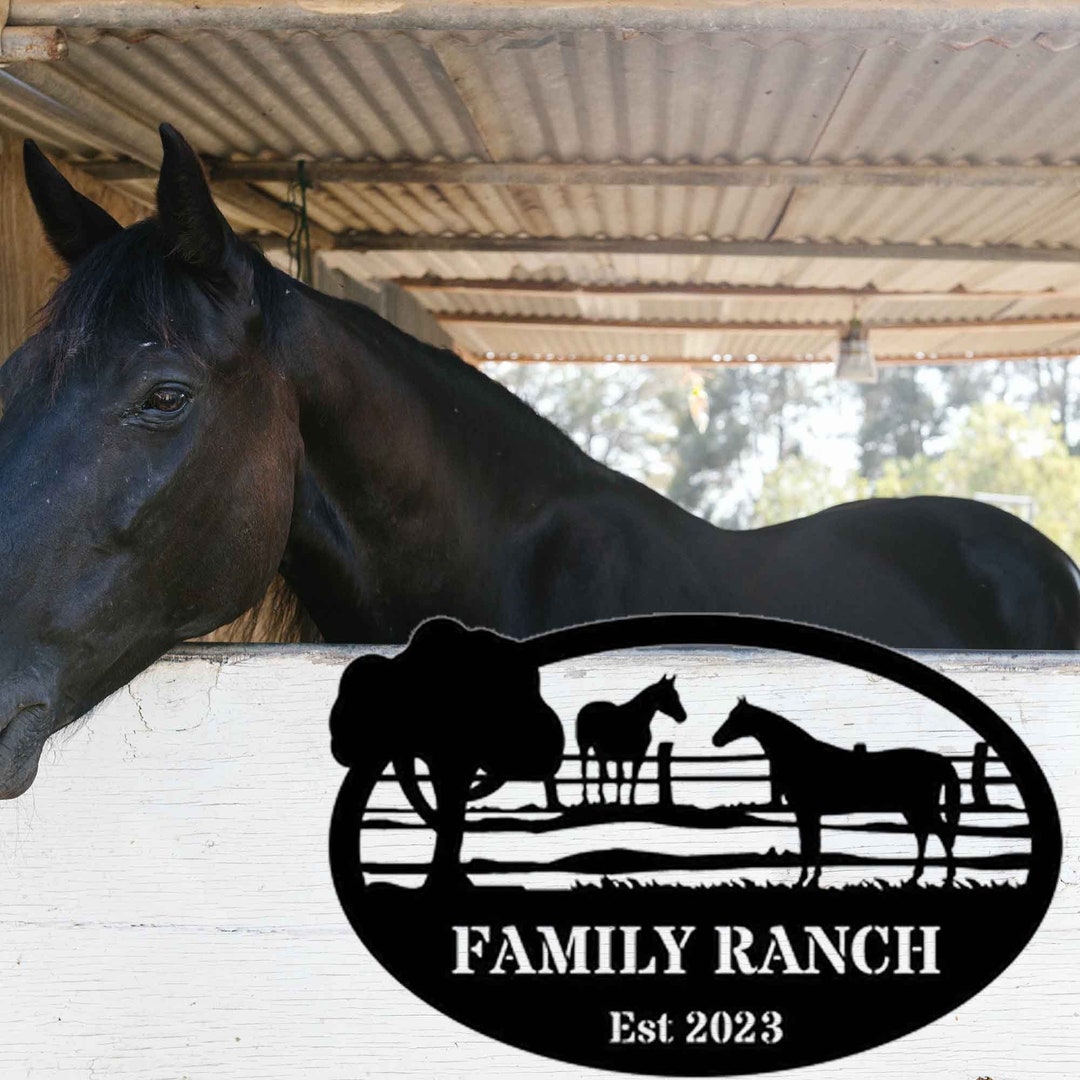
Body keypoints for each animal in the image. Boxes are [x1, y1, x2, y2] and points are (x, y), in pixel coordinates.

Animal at [576, 675, 687, 805]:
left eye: (676, 695)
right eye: (667, 695)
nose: (683, 716)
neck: (634, 720)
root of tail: (586, 707)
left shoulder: (639, 757)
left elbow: (633, 778)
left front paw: (631, 801)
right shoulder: (619, 756)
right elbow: (620, 778)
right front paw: (618, 802)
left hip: (600, 752)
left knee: (602, 772)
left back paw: (602, 798)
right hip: (584, 747)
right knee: (584, 770)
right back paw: (586, 799)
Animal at [712, 698, 961, 886]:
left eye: (736, 717)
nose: (716, 739)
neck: (802, 757)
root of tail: (938, 760)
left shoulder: (806, 812)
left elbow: (809, 845)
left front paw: (804, 879)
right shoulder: (809, 813)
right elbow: (812, 844)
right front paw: (811, 877)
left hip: (921, 807)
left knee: (941, 834)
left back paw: (947, 876)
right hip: (911, 809)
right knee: (924, 834)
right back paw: (916, 875)